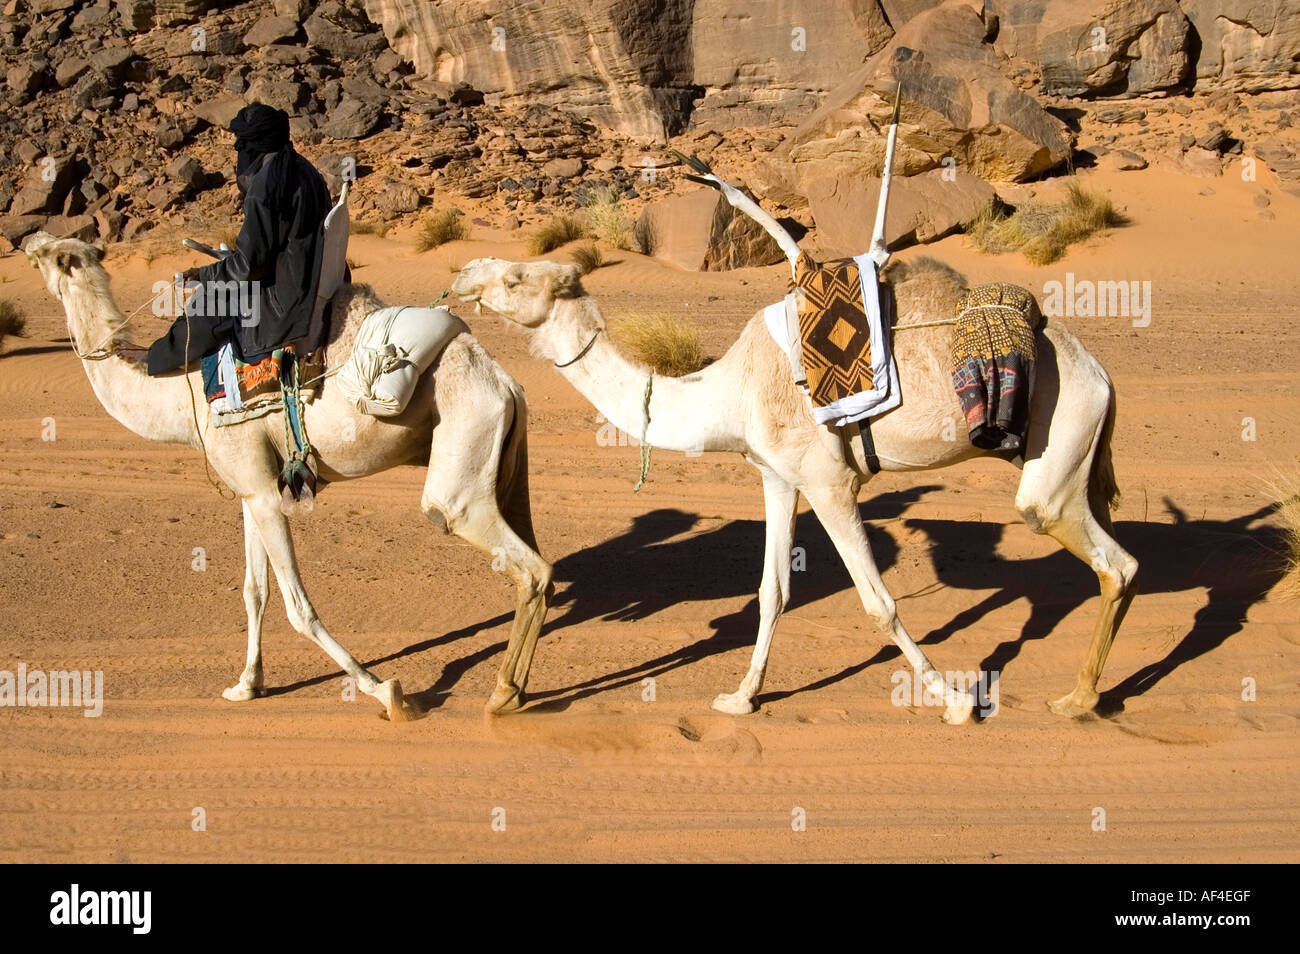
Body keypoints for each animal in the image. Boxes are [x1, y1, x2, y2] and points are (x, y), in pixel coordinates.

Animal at [24, 231, 552, 721]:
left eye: (47, 256)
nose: (28, 239)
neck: (178, 397)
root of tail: (507, 385)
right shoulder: (252, 489)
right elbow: (254, 592)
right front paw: (245, 685)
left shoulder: (261, 491)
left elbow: (298, 607)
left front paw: (385, 691)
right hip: (504, 466)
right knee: (534, 559)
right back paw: (515, 690)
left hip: (461, 467)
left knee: (515, 557)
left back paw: (502, 695)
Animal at [449, 254, 1138, 723]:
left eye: (516, 278)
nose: (463, 277)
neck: (731, 389)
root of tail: (1101, 373)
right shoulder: (777, 476)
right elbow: (772, 591)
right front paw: (739, 698)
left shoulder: (831, 482)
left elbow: (878, 602)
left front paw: (953, 702)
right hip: (1080, 460)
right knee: (1117, 558)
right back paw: (1085, 695)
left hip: (1057, 446)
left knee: (1110, 559)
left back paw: (1078, 698)